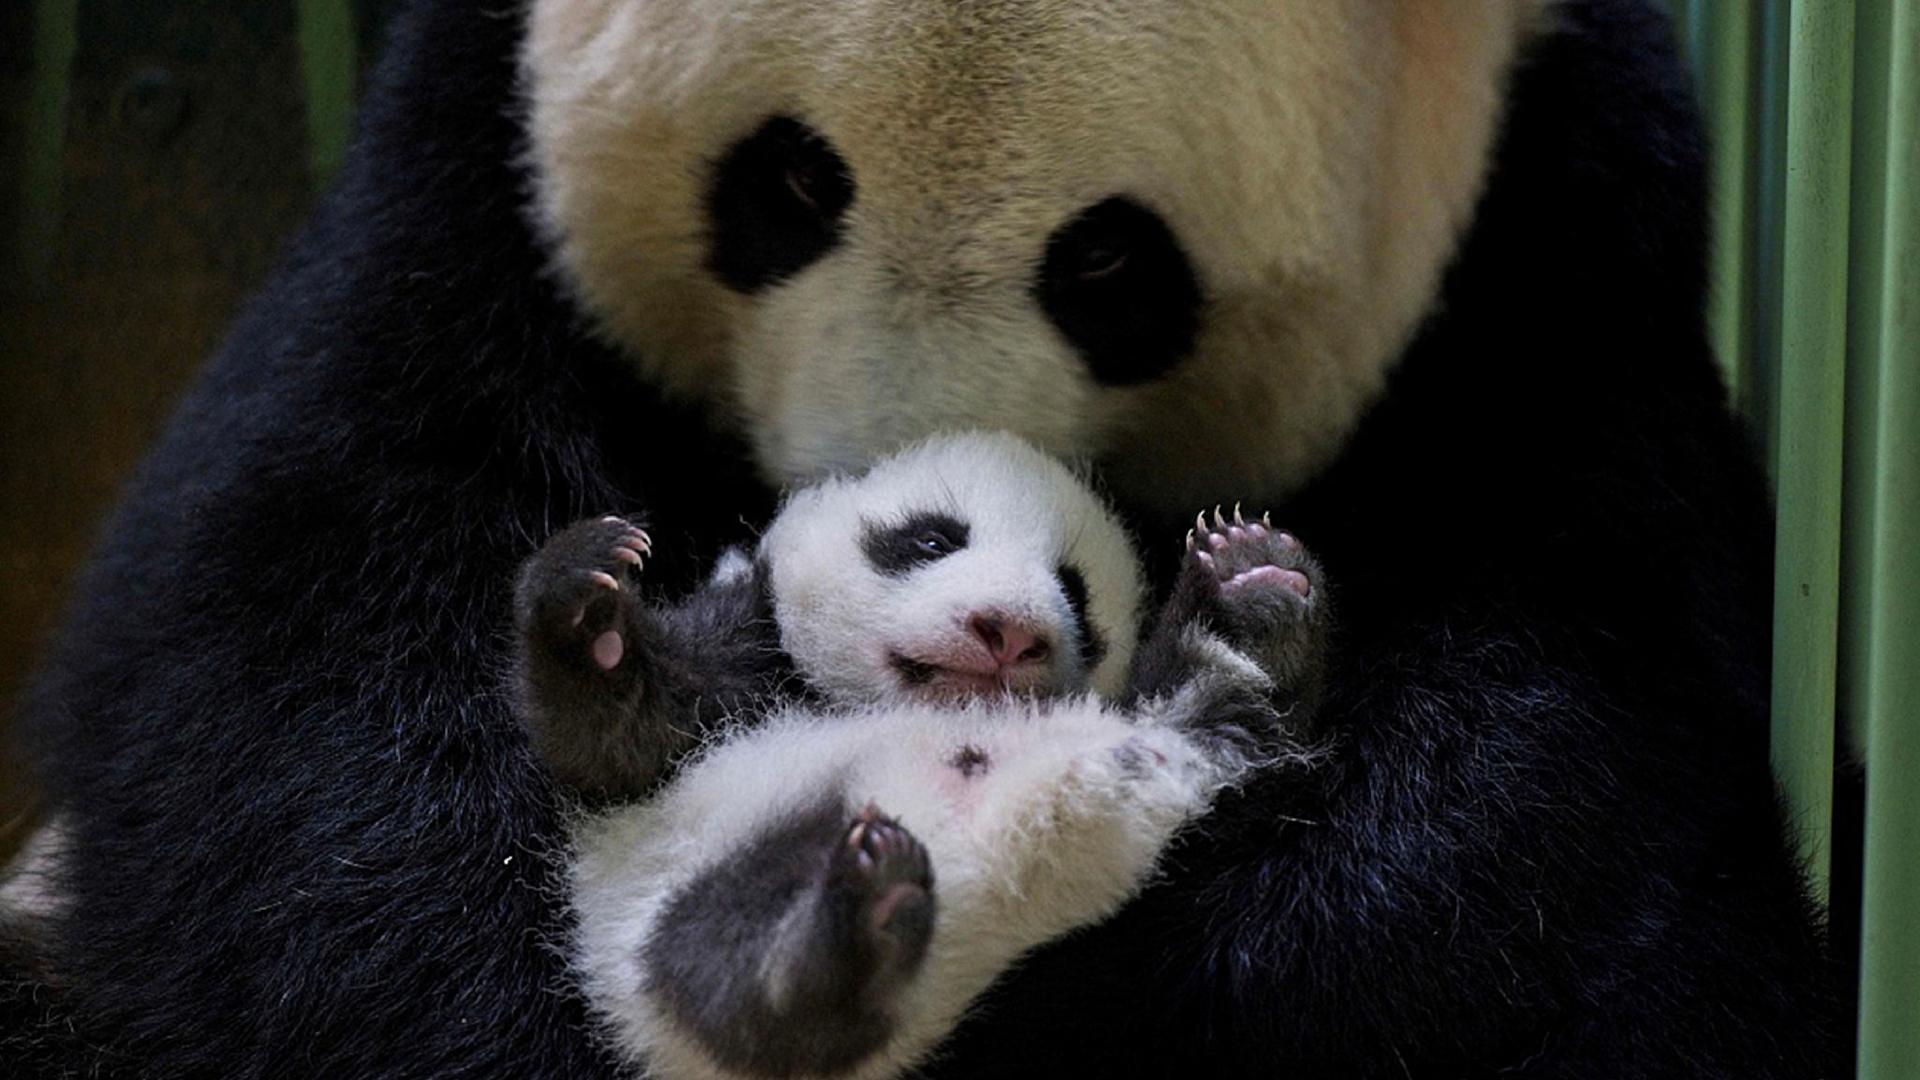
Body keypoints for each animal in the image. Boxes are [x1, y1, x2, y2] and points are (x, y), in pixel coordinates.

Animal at [514, 432, 1326, 1079]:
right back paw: (848, 930)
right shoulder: (746, 665)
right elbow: (619, 741)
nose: (1008, 630)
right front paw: (590, 600)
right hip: (684, 903)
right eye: (932, 541)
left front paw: (1252, 586)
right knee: (737, 985)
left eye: (1073, 590)